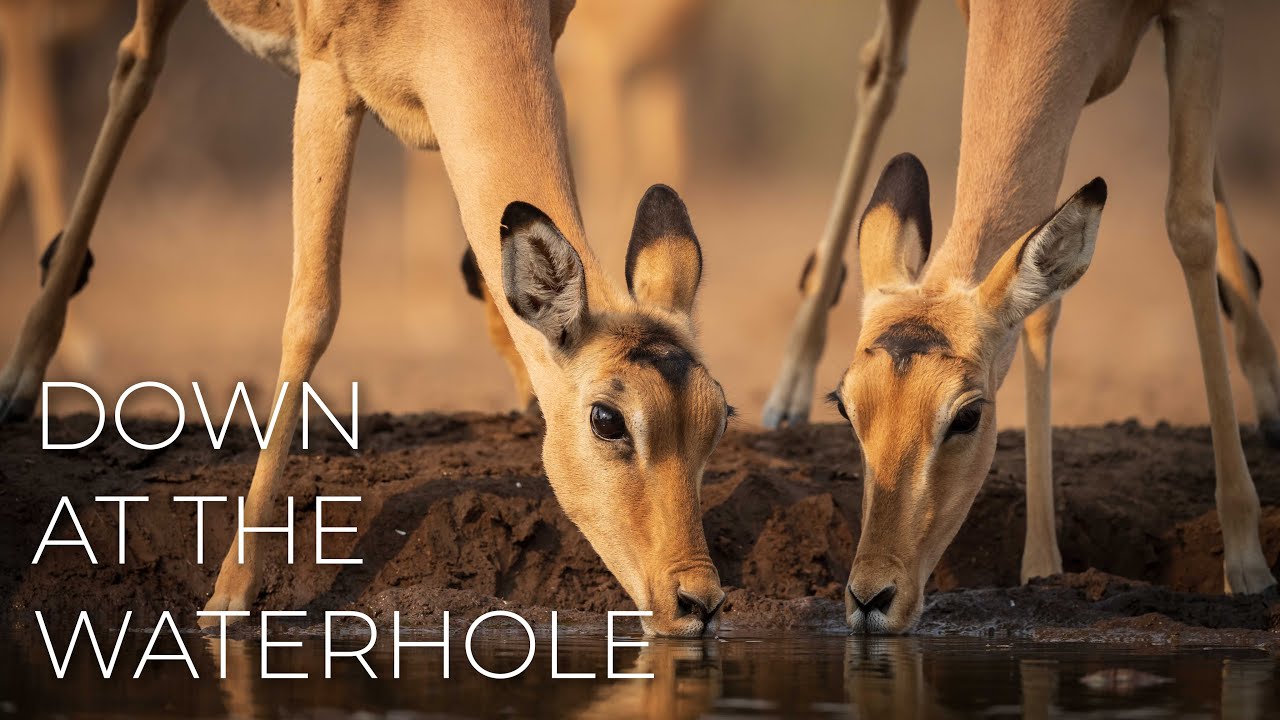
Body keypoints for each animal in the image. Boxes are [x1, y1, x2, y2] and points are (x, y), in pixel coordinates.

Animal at [0, 0, 730, 637]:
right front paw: (229, 595)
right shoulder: (328, 82)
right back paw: (23, 376)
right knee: (134, 70)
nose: (698, 601)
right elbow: (312, 312)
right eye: (607, 419)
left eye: (718, 415)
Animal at [816, 0, 1278, 634]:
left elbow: (1190, 224)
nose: (869, 599)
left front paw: (1248, 564)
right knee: (880, 70)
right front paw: (1041, 566)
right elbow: (1038, 308)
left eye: (968, 416)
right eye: (846, 407)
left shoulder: (1197, 16)